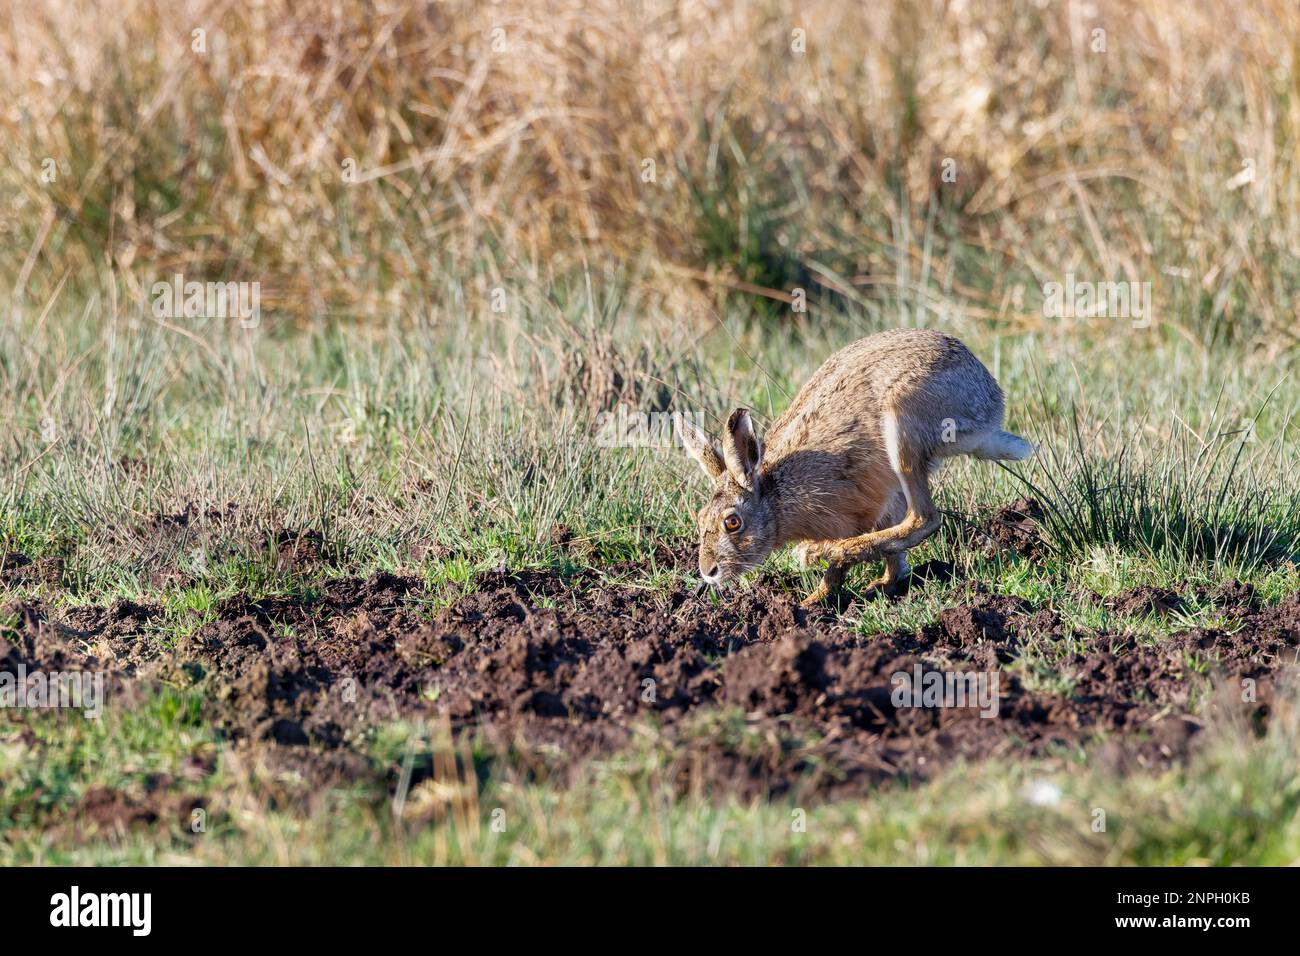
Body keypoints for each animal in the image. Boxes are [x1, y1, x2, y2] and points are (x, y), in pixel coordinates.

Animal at [679, 328, 1033, 608]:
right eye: (700, 518)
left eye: (733, 522)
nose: (708, 572)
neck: (775, 497)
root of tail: (990, 403)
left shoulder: (850, 513)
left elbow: (840, 566)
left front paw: (813, 597)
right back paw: (883, 583)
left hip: (903, 423)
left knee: (923, 519)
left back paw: (820, 551)